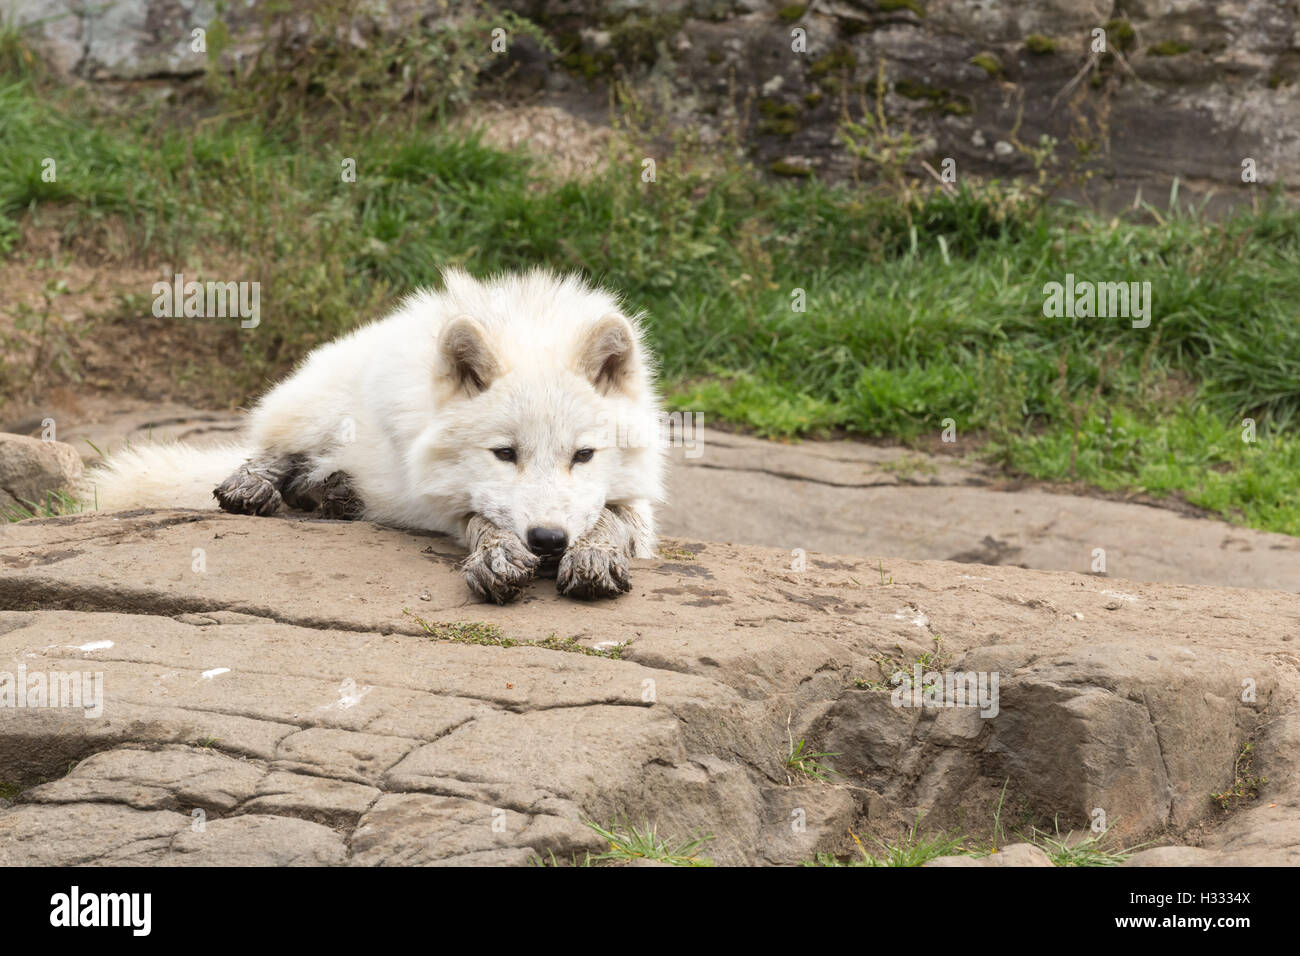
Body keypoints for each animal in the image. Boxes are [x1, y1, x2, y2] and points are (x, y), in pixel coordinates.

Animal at [84, 269, 666, 603]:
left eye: (584, 455)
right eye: (504, 453)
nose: (547, 540)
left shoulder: (635, 504)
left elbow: (611, 518)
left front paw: (592, 555)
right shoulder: (437, 498)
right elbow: (481, 519)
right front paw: (498, 557)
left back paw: (334, 494)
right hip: (318, 410)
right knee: (271, 450)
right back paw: (257, 487)